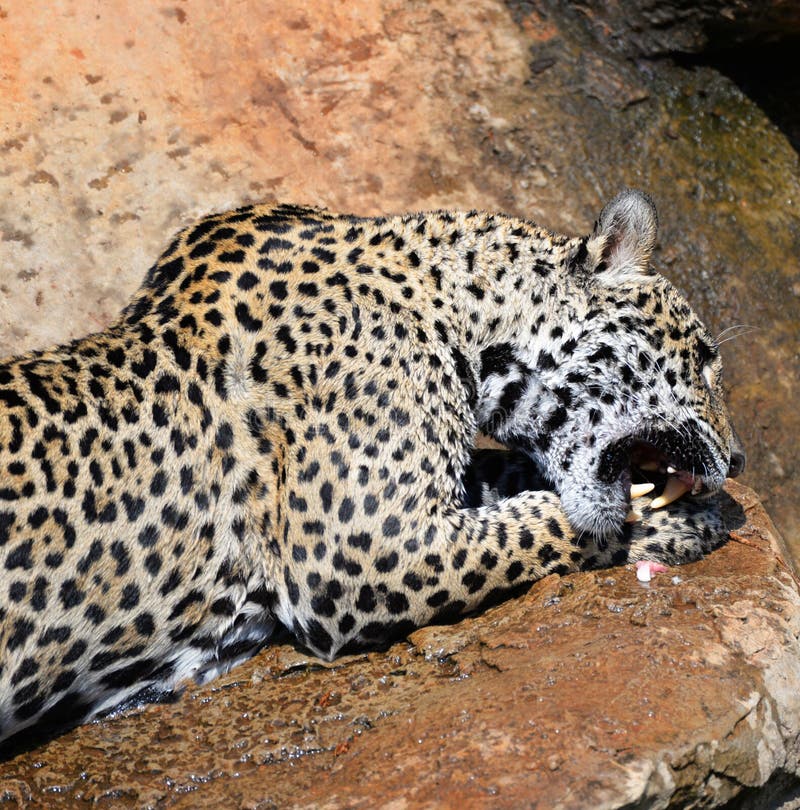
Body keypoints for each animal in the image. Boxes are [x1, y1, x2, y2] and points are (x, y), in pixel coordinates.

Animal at [0, 189, 745, 753]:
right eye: (705, 357)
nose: (738, 458)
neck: (463, 310)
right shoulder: (365, 548)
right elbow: (543, 526)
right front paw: (683, 519)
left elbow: (510, 481)